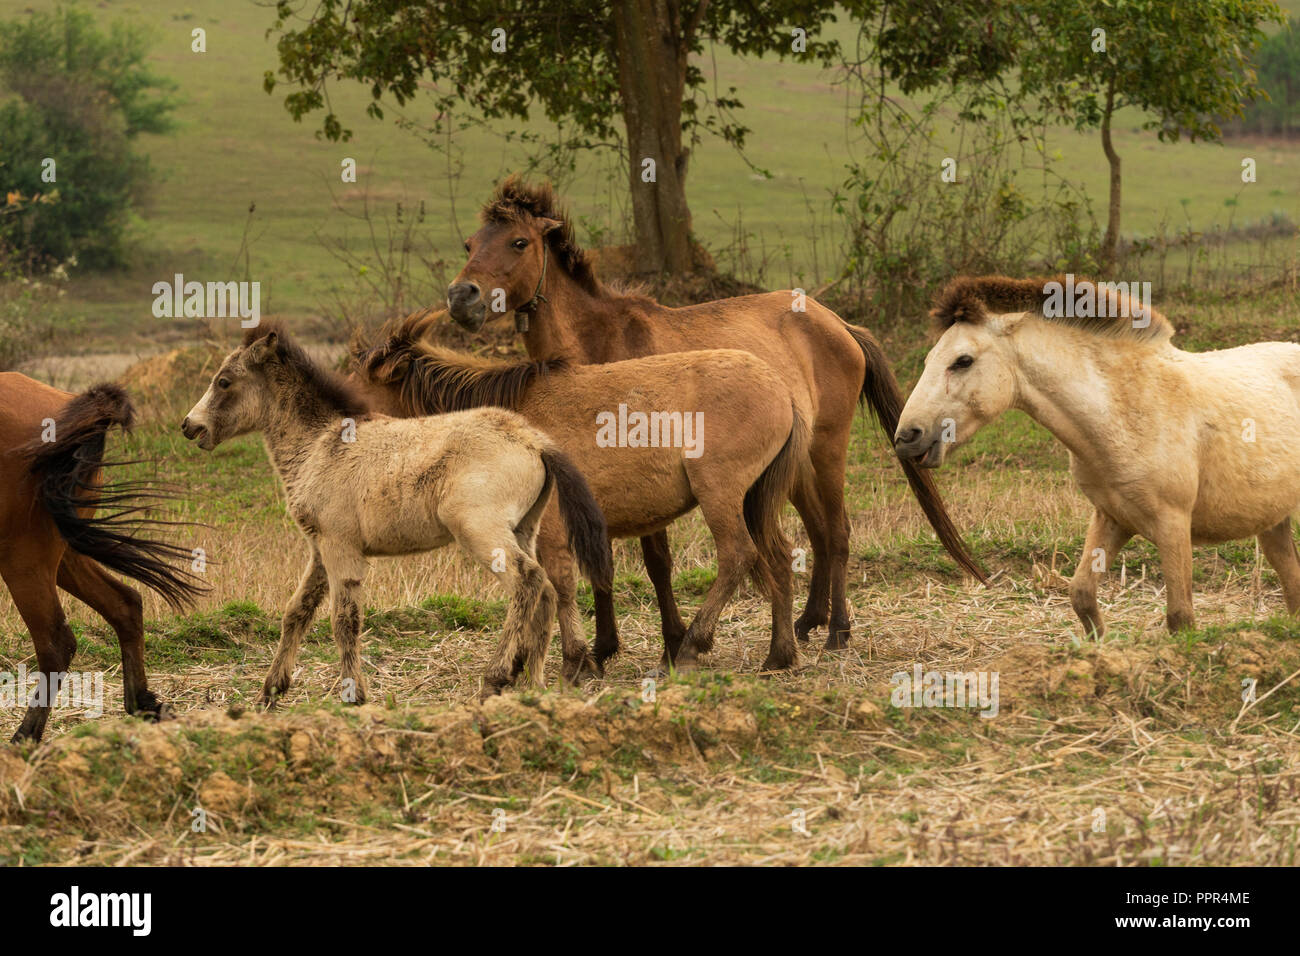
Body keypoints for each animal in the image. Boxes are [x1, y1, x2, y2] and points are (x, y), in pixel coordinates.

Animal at [0, 373, 204, 742]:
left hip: (24, 558)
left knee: (56, 642)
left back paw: (24, 737)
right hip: (63, 553)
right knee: (125, 602)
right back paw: (143, 703)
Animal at [181, 323, 612, 701]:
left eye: (223, 381)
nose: (189, 426)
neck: (320, 446)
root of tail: (533, 439)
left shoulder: (341, 548)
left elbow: (344, 621)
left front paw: (354, 696)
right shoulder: (320, 549)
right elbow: (296, 612)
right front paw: (271, 692)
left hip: (480, 531)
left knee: (528, 581)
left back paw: (496, 678)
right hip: (523, 528)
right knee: (547, 591)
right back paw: (534, 683)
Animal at [351, 308, 808, 674]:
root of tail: (781, 389)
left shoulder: (553, 528)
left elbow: (561, 585)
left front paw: (575, 660)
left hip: (720, 496)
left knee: (737, 556)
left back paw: (692, 646)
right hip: (753, 501)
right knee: (778, 557)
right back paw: (779, 654)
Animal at [443, 176, 987, 655]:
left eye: (518, 242)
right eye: (470, 242)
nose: (461, 296)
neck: (599, 345)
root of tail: (839, 324)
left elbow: (656, 562)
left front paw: (672, 641)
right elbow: (604, 562)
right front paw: (605, 647)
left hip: (827, 449)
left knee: (835, 532)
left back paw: (836, 632)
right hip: (789, 469)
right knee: (813, 533)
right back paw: (807, 623)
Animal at [894, 274, 1300, 638]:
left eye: (962, 361)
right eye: (930, 358)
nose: (906, 437)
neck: (1122, 410)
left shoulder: (1172, 523)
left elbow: (1180, 617)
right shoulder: (1112, 517)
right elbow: (1082, 595)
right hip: (1273, 521)